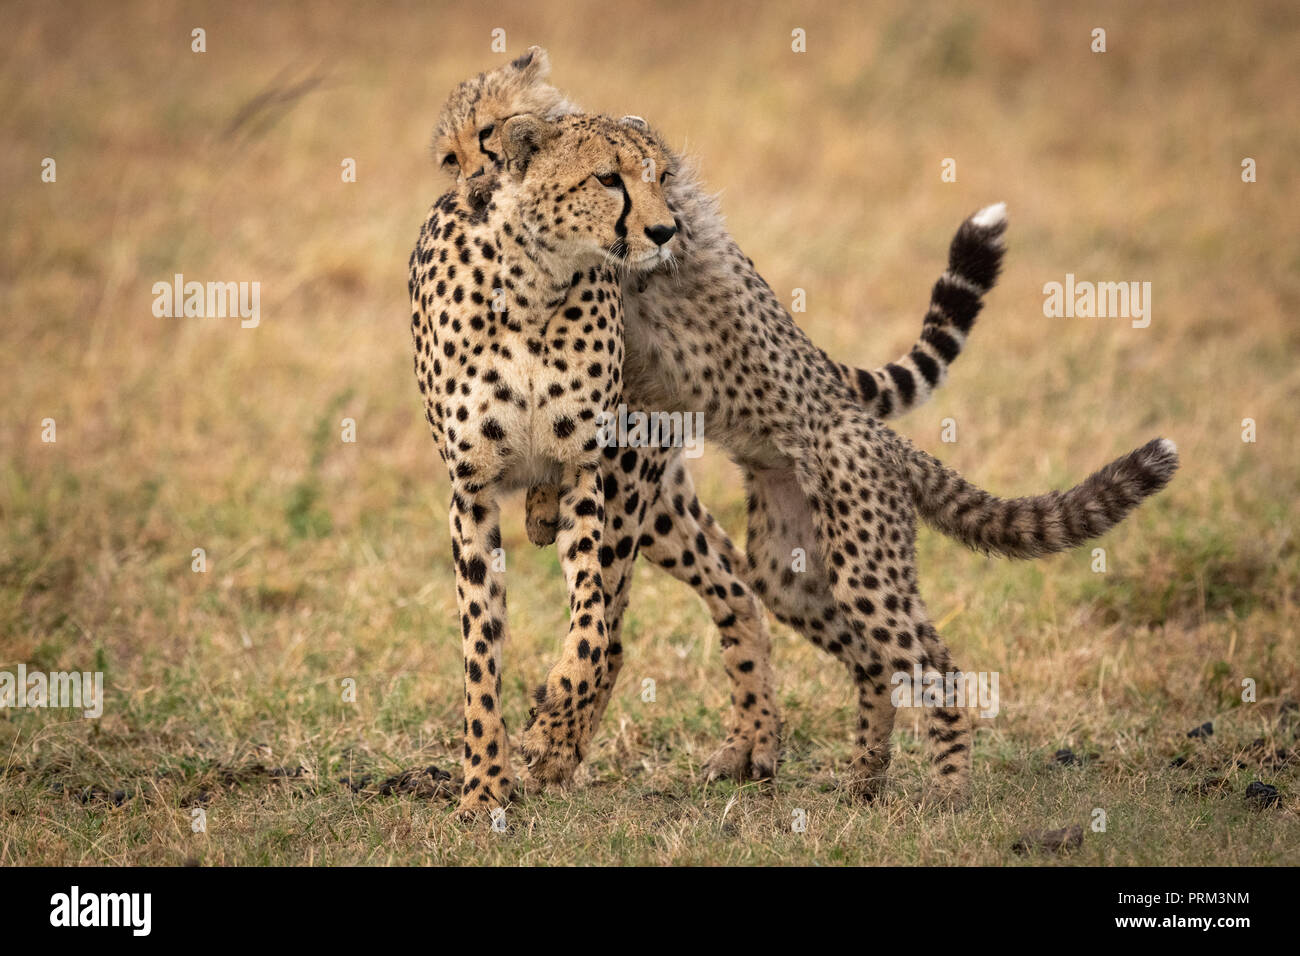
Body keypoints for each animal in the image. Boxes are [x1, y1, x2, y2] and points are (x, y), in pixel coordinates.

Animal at [426, 48, 1180, 809]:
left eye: (651, 176)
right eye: (451, 154)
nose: (473, 187)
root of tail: (877, 435)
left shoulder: (624, 441)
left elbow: (596, 616)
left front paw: (550, 732)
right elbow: (512, 632)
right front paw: (508, 765)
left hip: (862, 561)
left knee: (932, 664)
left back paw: (943, 792)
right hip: (787, 565)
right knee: (834, 637)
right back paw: (856, 774)